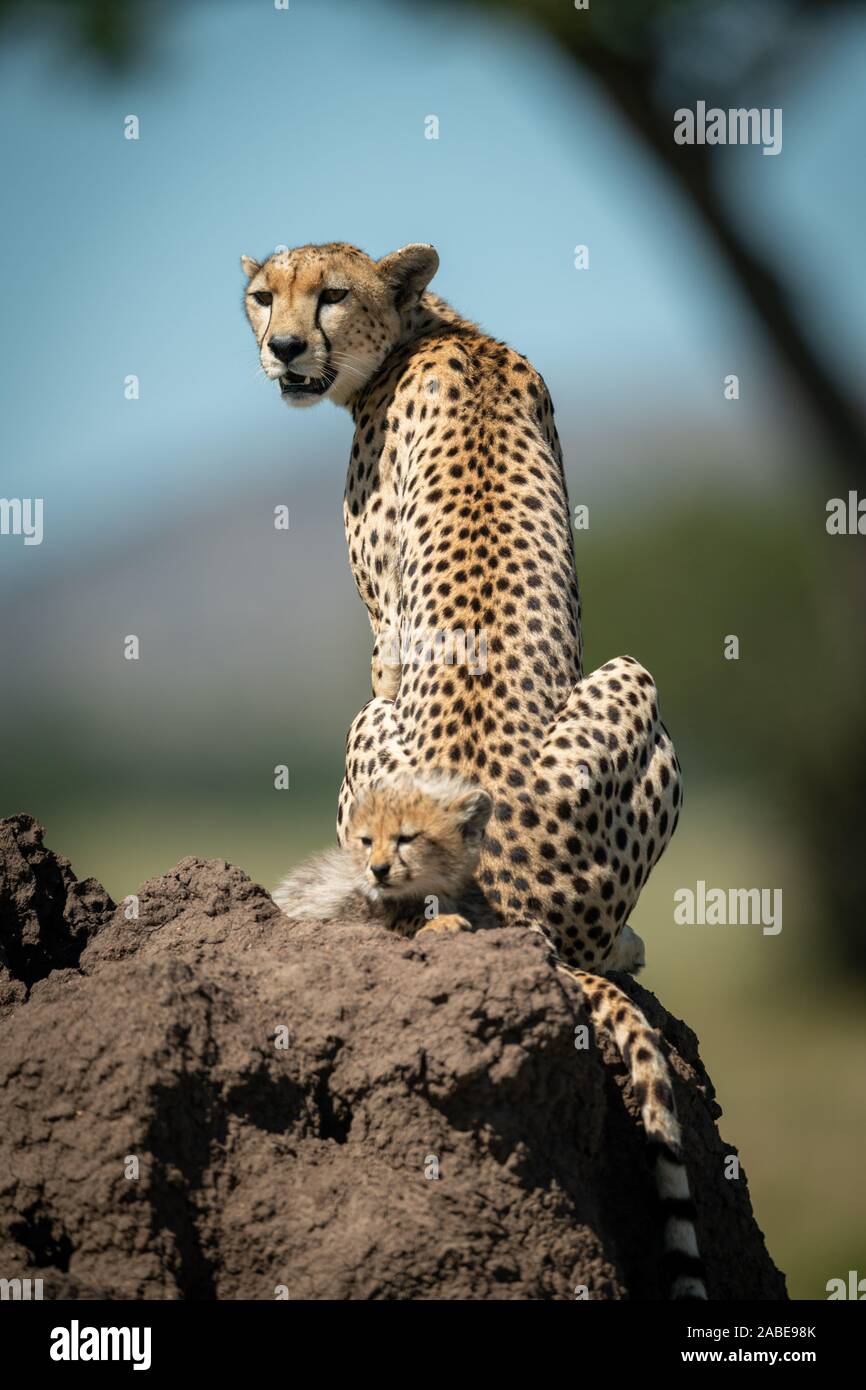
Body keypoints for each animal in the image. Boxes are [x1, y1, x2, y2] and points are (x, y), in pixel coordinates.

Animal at [242, 240, 704, 1298]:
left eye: (330, 294)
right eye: (261, 295)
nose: (283, 348)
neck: (436, 325)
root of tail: (512, 905)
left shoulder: (382, 634)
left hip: (596, 685)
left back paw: (616, 946)